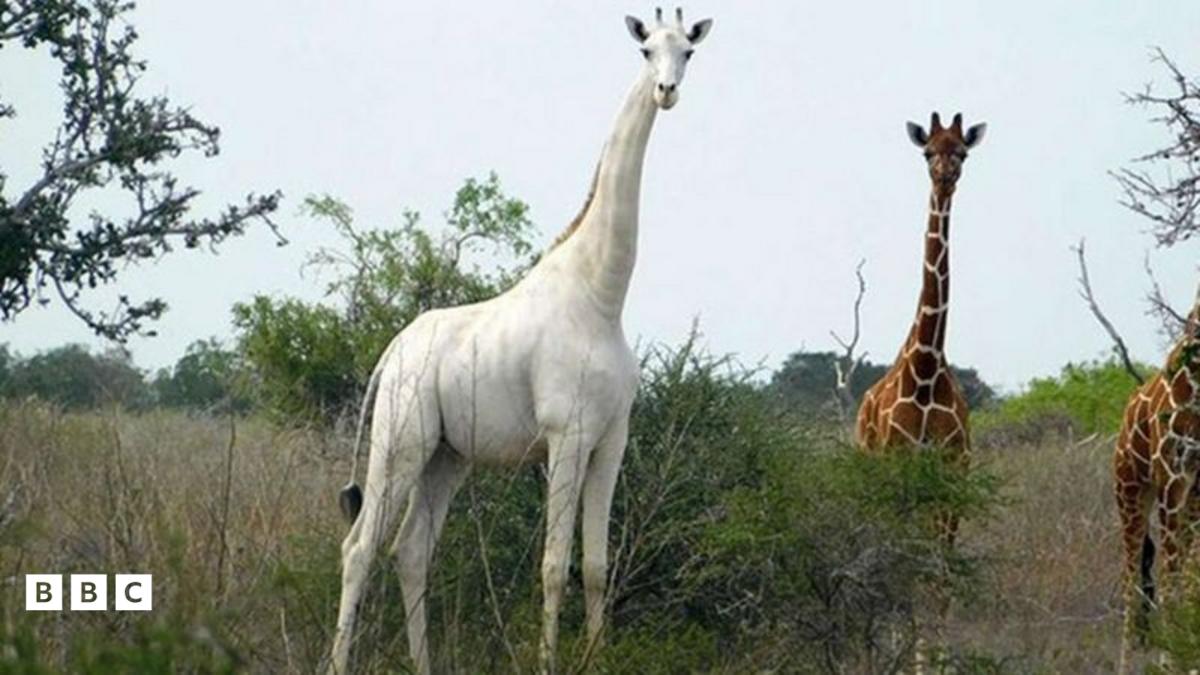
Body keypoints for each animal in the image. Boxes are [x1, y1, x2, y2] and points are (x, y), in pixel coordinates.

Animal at [325, 9, 713, 675]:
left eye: (687, 51)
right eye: (645, 51)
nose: (666, 91)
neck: (601, 296)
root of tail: (390, 353)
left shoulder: (612, 440)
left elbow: (596, 566)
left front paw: (596, 659)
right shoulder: (566, 435)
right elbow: (554, 565)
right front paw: (549, 663)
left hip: (447, 456)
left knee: (410, 549)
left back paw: (425, 665)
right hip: (401, 440)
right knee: (360, 548)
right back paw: (338, 662)